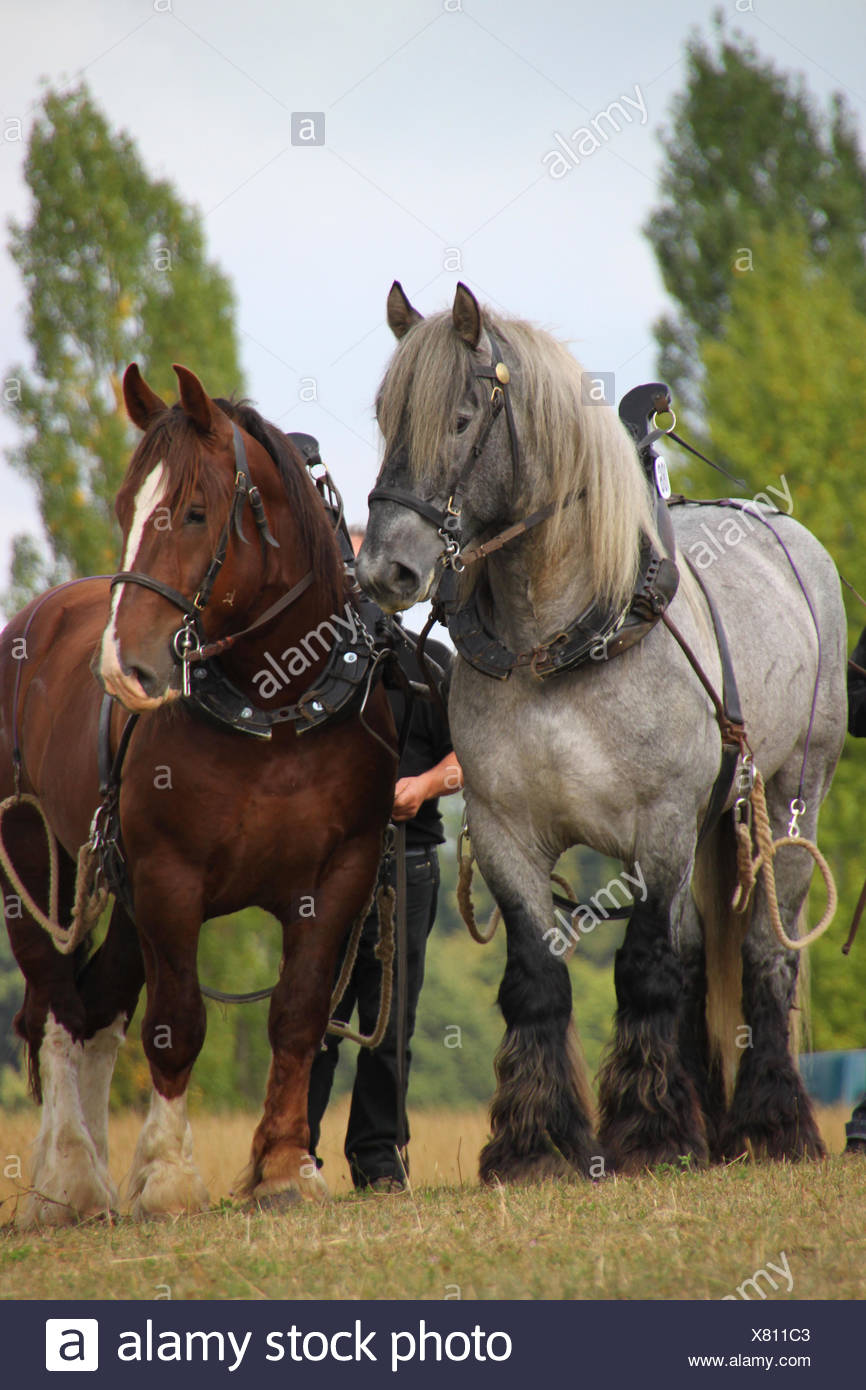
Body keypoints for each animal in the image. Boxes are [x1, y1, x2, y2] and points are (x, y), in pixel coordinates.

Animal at [0, 364, 396, 1225]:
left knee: (96, 1009)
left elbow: (298, 1013)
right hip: (33, 864)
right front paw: (170, 1177)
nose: (123, 668)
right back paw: (67, 1179)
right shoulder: (168, 880)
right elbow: (177, 1023)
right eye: (125, 508)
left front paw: (282, 1169)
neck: (276, 713)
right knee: (56, 1007)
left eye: (193, 512)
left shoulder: (339, 879)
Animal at [359, 280, 847, 1182]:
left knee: (766, 953)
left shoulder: (660, 827)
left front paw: (650, 1133)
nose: (384, 570)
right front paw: (538, 1142)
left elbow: (647, 970)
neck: (557, 642)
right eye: (384, 415)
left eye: (462, 417)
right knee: (699, 953)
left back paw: (769, 1124)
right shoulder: (506, 833)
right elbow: (540, 978)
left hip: (791, 796)